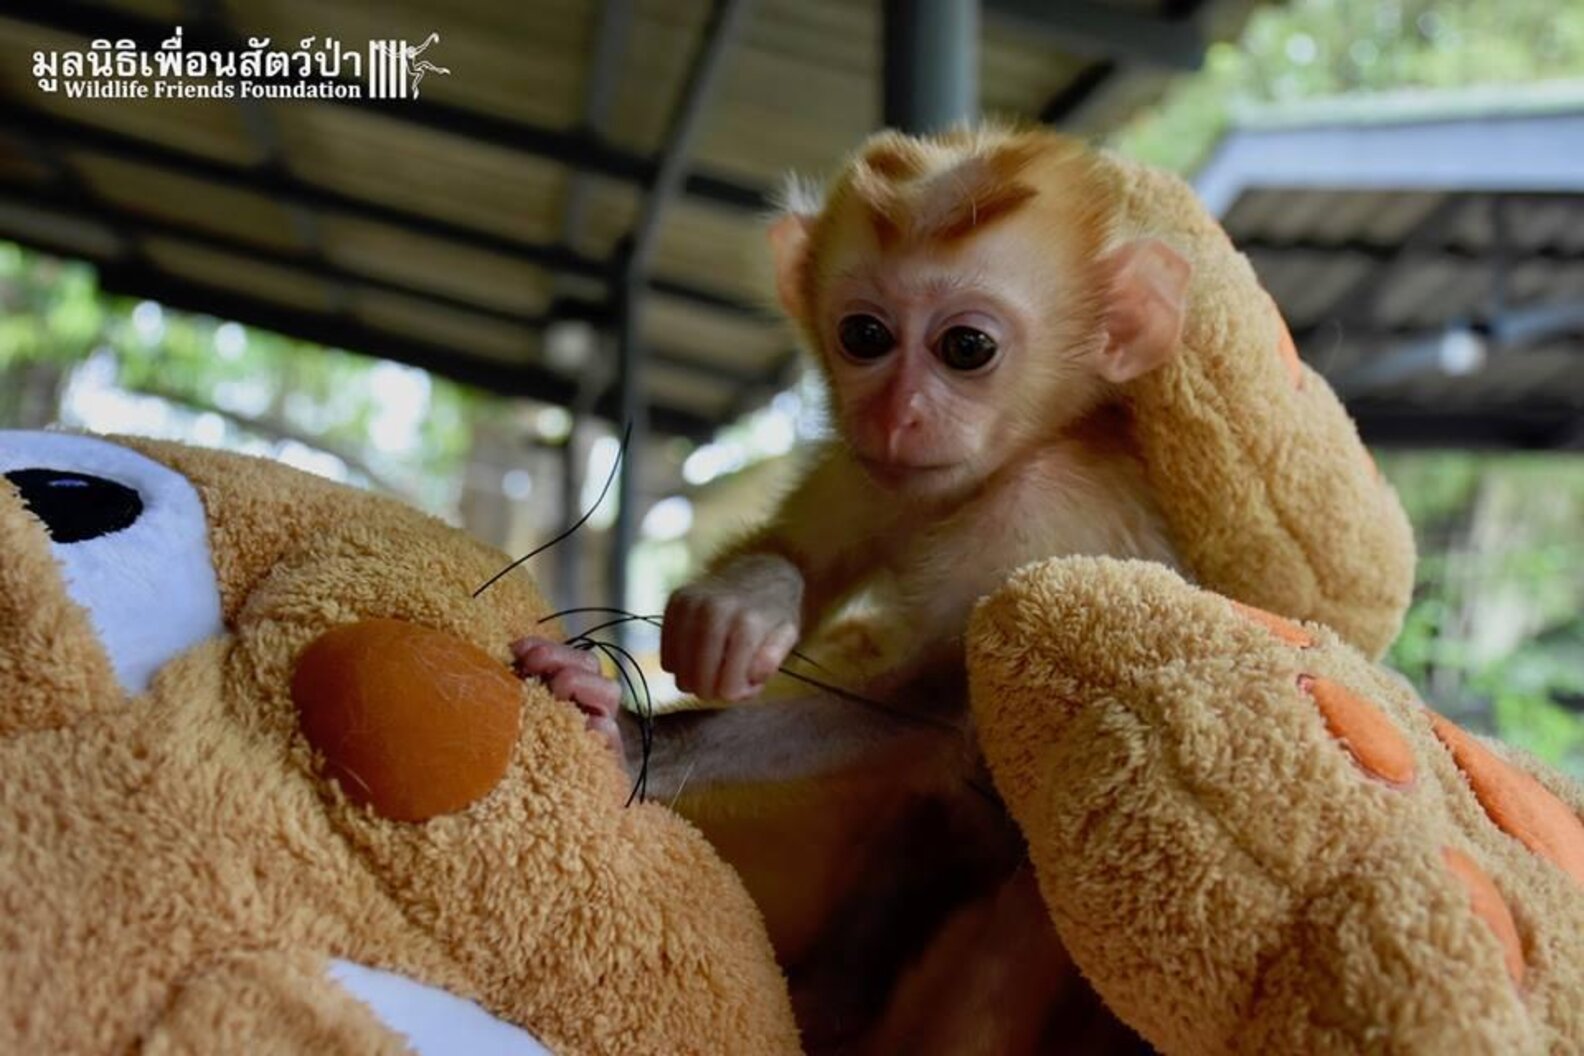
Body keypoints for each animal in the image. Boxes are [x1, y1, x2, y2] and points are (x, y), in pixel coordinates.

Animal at [515, 126, 1187, 1055]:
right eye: (865, 334)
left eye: (967, 348)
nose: (897, 413)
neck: (994, 476)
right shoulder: (869, 472)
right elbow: (805, 557)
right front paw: (742, 608)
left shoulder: (1050, 516)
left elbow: (932, 713)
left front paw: (625, 732)